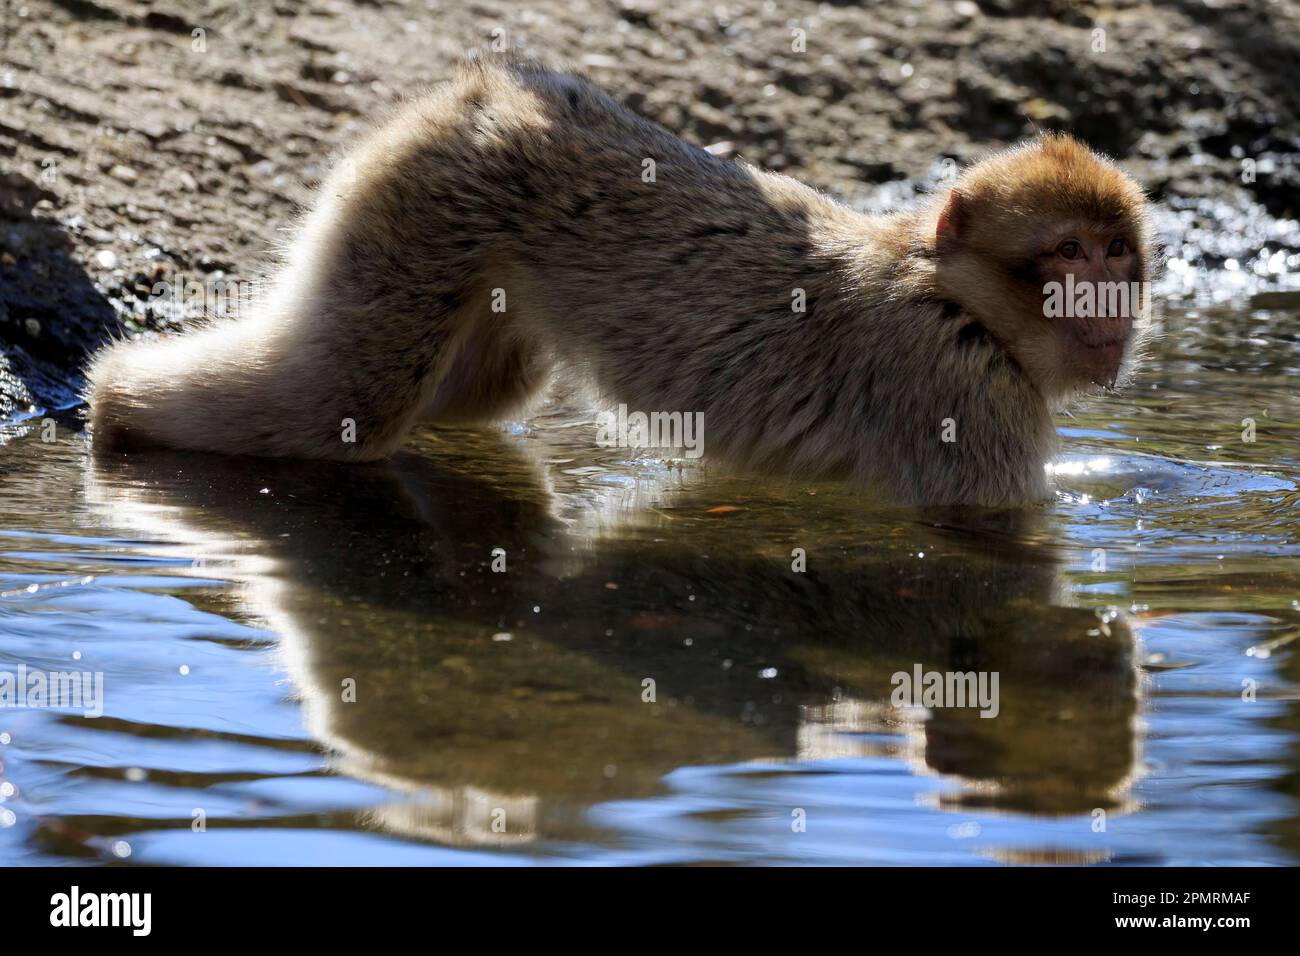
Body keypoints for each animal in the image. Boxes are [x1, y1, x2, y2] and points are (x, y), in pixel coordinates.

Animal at [84, 55, 1156, 507]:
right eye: (1069, 252)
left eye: (1117, 252)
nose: (1104, 293)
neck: (955, 297)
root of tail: (495, 97)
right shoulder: (962, 395)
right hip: (425, 208)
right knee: (340, 401)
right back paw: (117, 409)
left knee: (471, 391)